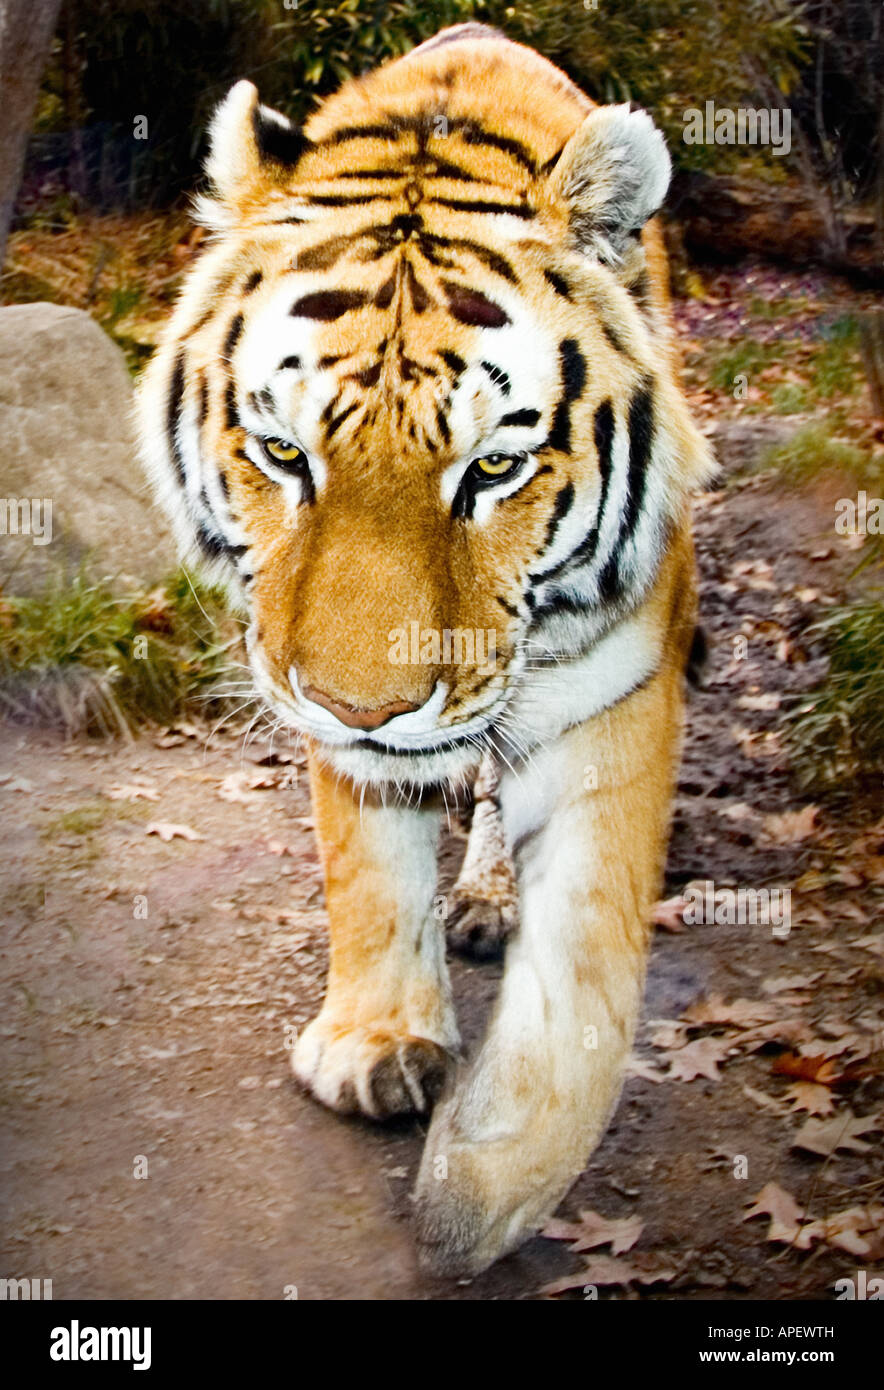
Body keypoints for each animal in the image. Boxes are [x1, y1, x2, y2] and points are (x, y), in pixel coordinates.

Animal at [137, 22, 714, 1278]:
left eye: (493, 468)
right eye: (282, 452)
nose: (363, 708)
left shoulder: (621, 684)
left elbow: (585, 957)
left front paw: (482, 1181)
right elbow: (367, 871)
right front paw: (379, 1042)